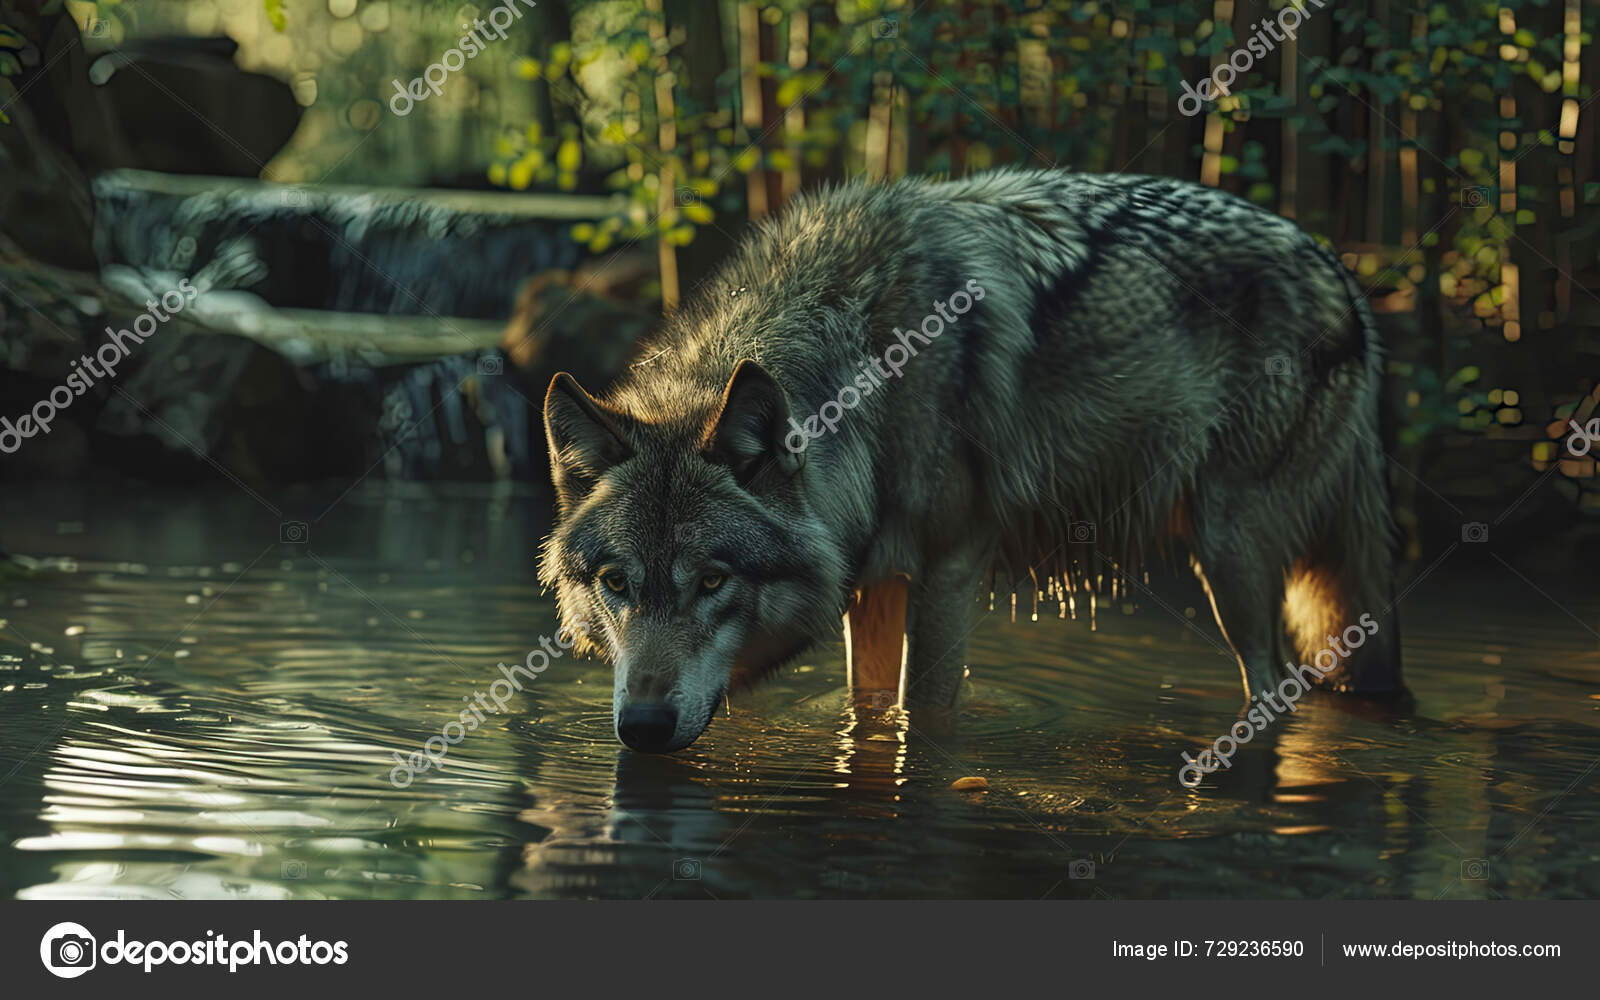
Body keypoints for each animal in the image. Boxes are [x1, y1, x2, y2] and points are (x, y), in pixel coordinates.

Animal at [539, 167, 1404, 753]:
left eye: (714, 581)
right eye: (616, 583)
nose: (642, 727)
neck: (867, 360)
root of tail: (1344, 272)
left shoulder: (951, 570)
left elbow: (923, 715)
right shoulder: (872, 583)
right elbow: (868, 708)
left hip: (1230, 561)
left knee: (1274, 687)